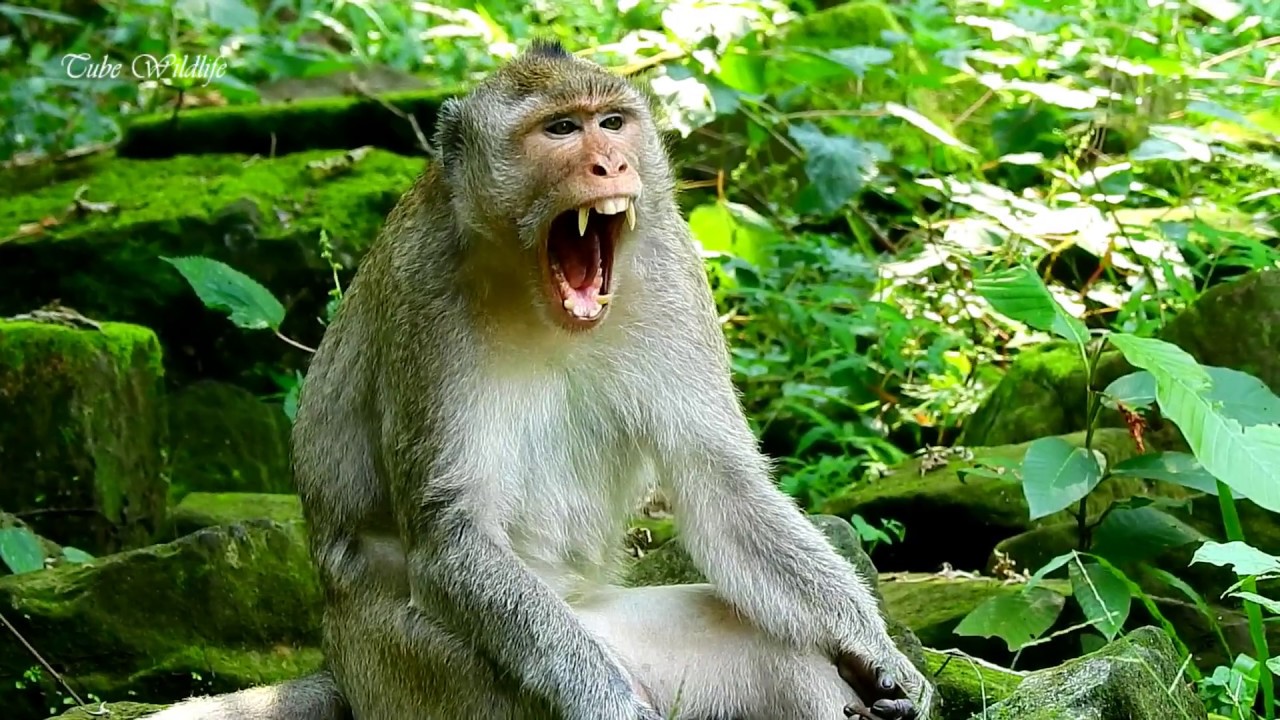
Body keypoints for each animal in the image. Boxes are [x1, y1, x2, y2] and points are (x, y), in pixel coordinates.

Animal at [143, 41, 933, 720]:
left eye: (612, 123)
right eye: (560, 130)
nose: (611, 164)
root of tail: (340, 662)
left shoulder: (674, 266)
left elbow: (723, 488)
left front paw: (879, 652)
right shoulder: (421, 292)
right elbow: (454, 532)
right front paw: (608, 705)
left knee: (786, 662)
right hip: (403, 672)